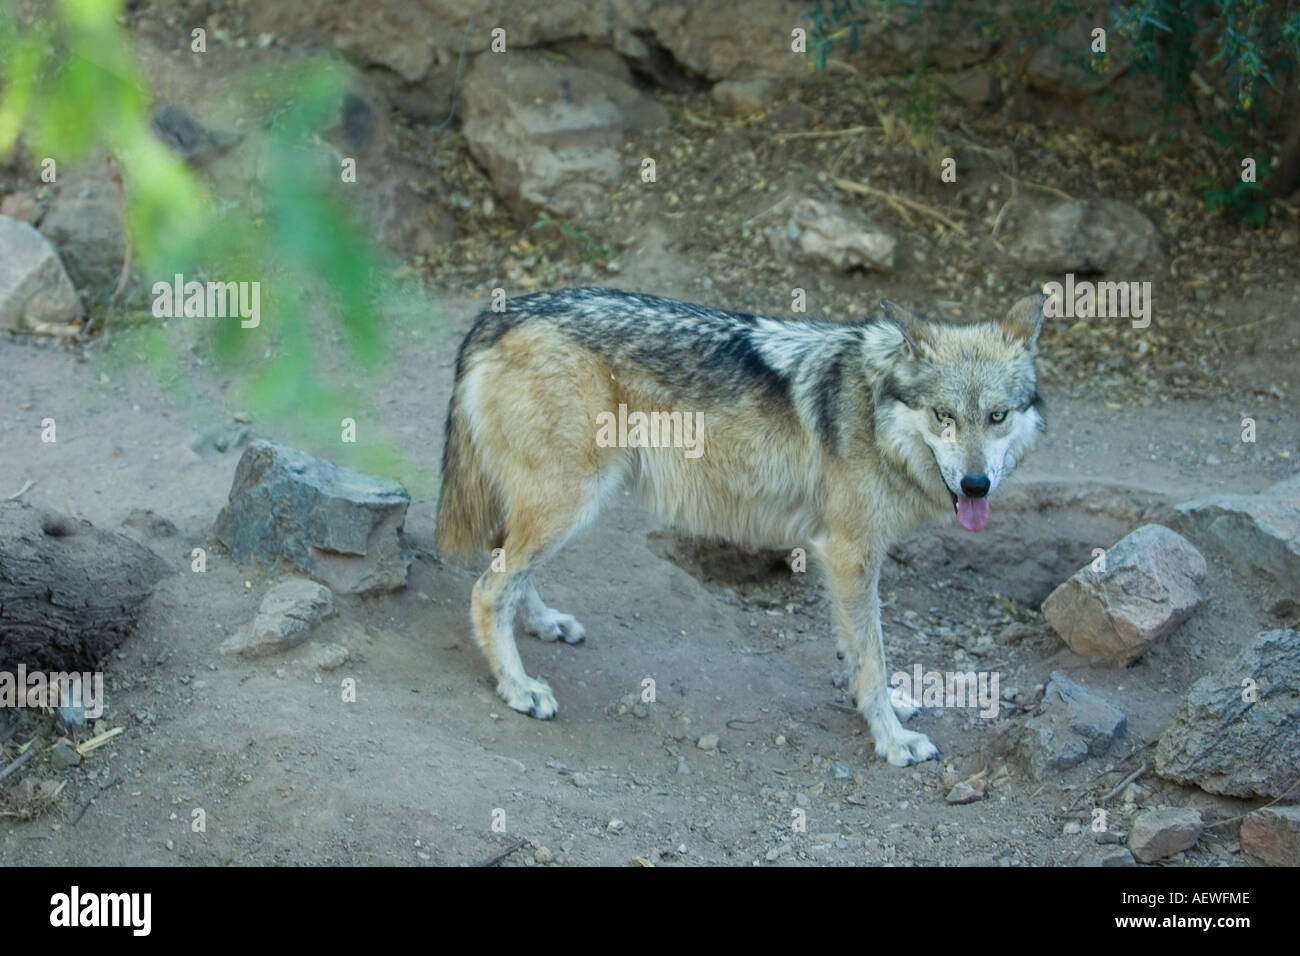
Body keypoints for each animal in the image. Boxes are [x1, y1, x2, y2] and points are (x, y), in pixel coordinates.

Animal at [436, 288, 1045, 766]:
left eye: (997, 416)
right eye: (945, 416)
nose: (975, 485)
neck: (874, 415)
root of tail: (500, 313)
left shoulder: (845, 561)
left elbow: (858, 655)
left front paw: (883, 709)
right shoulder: (848, 553)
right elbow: (872, 658)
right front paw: (892, 741)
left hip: (558, 509)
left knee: (506, 569)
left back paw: (543, 624)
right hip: (570, 503)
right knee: (487, 590)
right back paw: (517, 686)